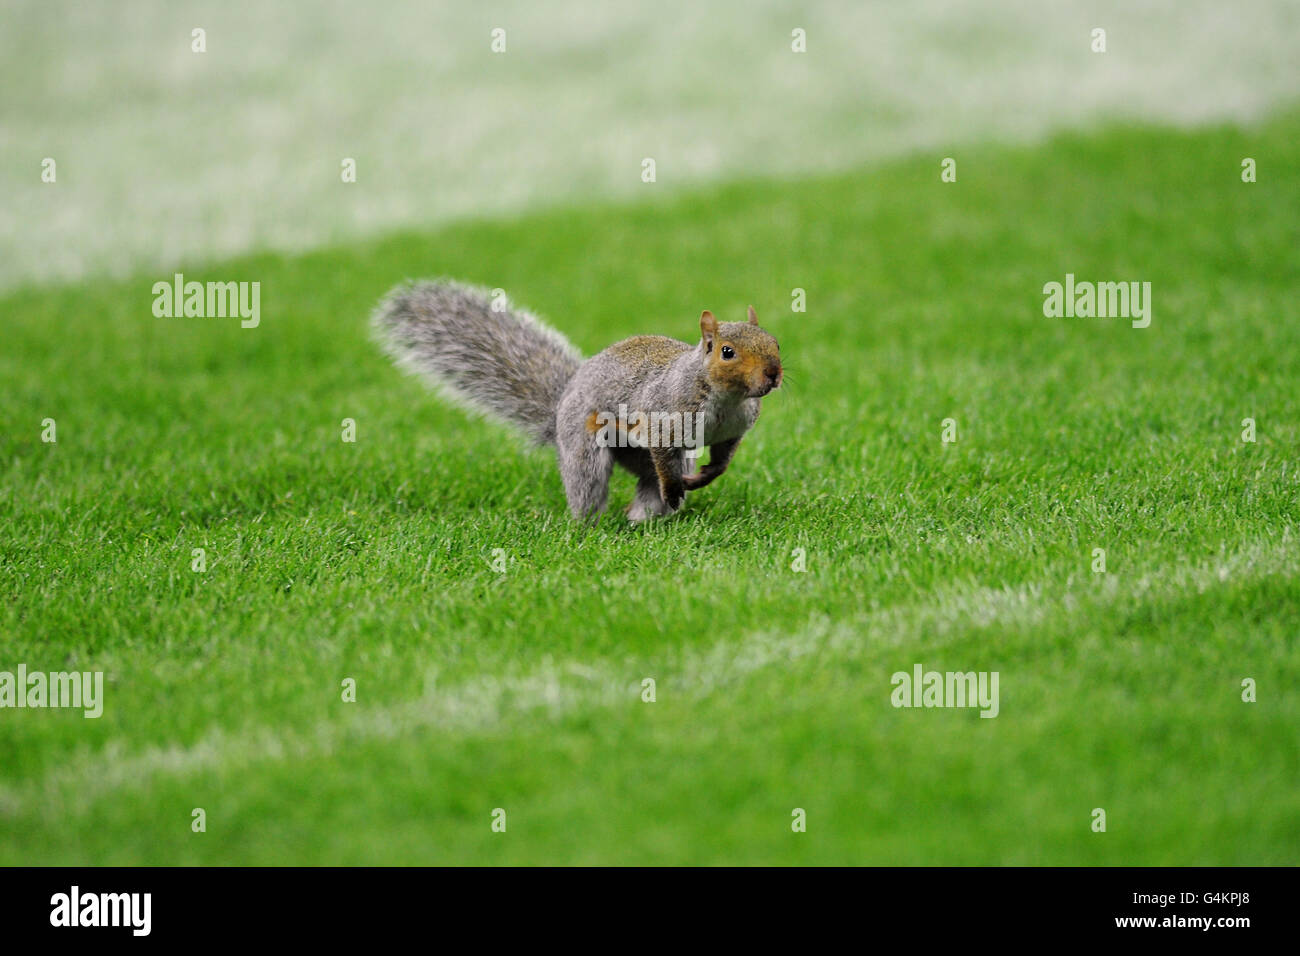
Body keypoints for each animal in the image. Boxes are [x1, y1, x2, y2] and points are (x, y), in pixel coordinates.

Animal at [372, 280, 782, 521]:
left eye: (775, 342)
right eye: (727, 352)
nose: (773, 374)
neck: (726, 399)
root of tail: (559, 412)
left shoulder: (735, 429)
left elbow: (723, 458)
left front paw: (704, 476)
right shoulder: (663, 415)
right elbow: (664, 456)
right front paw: (675, 487)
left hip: (636, 453)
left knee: (646, 482)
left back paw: (643, 517)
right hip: (586, 447)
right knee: (592, 484)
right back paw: (593, 525)